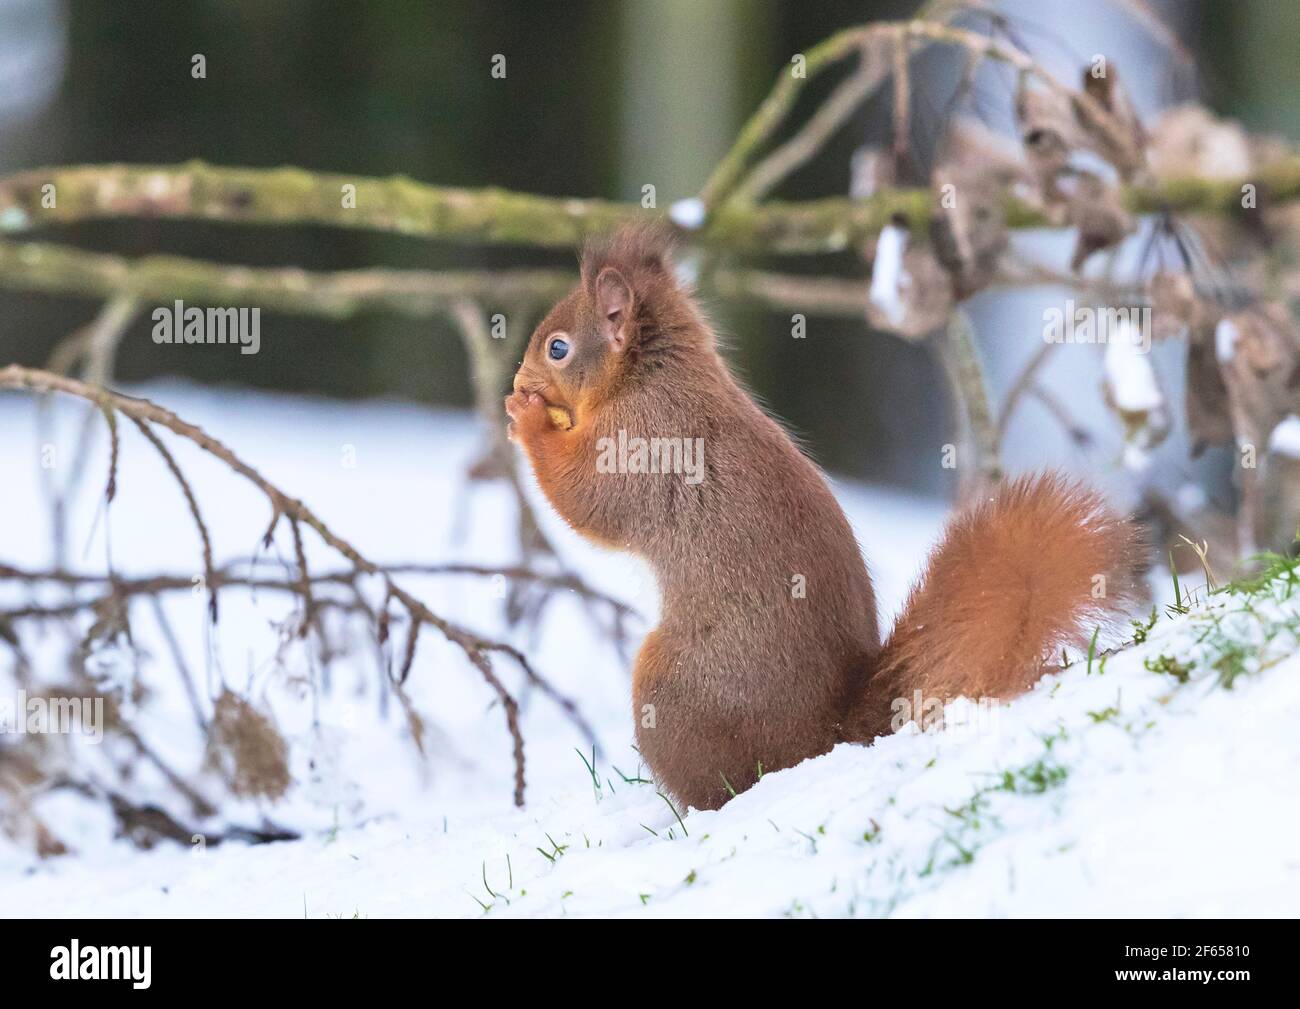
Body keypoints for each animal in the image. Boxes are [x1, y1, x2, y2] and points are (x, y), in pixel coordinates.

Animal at [506, 224, 1138, 811]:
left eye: (557, 348)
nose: (516, 383)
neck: (653, 375)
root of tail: (827, 733)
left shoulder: (643, 442)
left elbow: (587, 499)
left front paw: (527, 417)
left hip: (675, 688)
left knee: (721, 786)